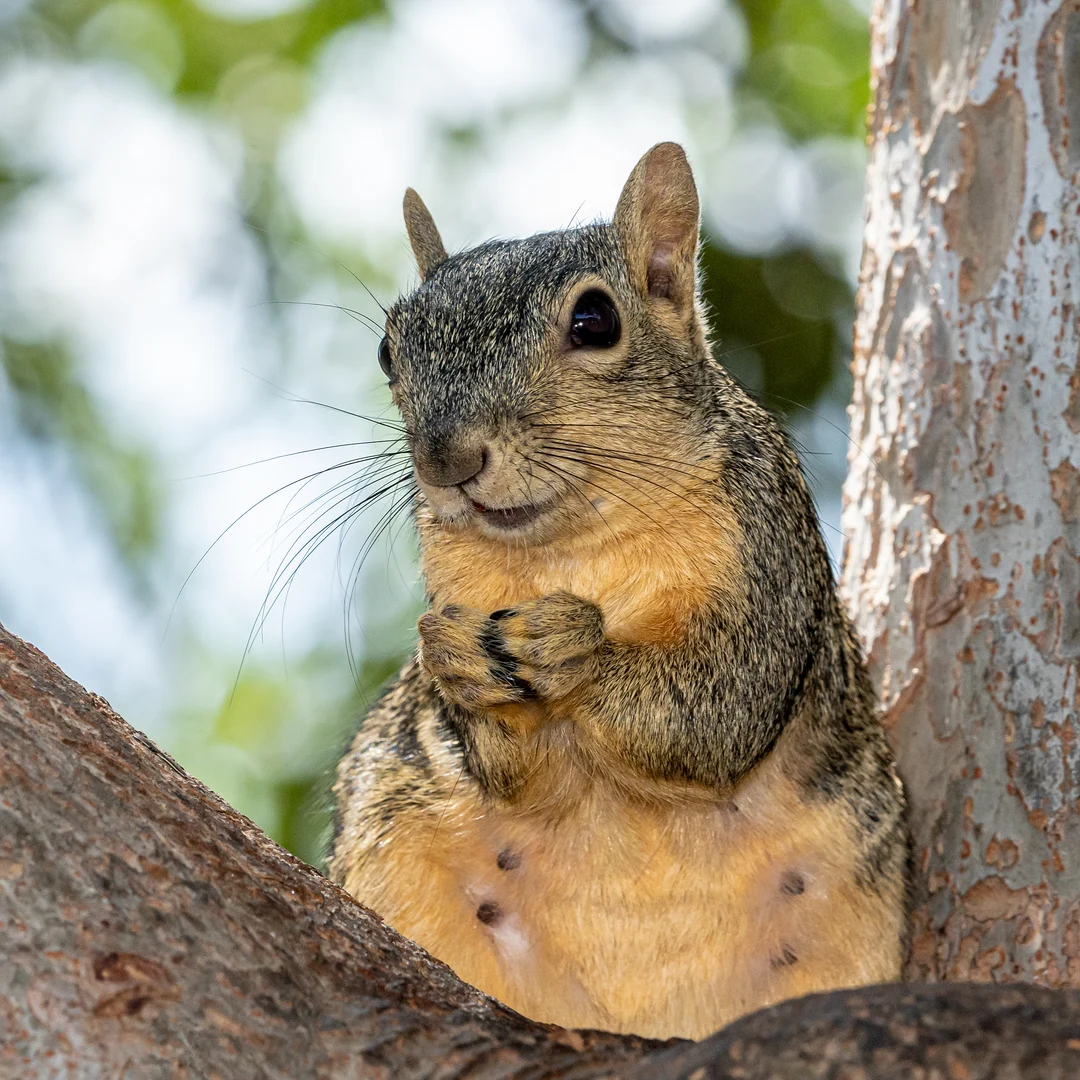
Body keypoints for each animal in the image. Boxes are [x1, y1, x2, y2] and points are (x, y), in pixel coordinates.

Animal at [329, 143, 909, 1041]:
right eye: (391, 352)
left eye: (596, 322)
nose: (446, 461)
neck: (570, 544)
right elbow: (510, 770)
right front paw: (452, 661)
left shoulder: (771, 559)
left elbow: (721, 707)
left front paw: (577, 653)